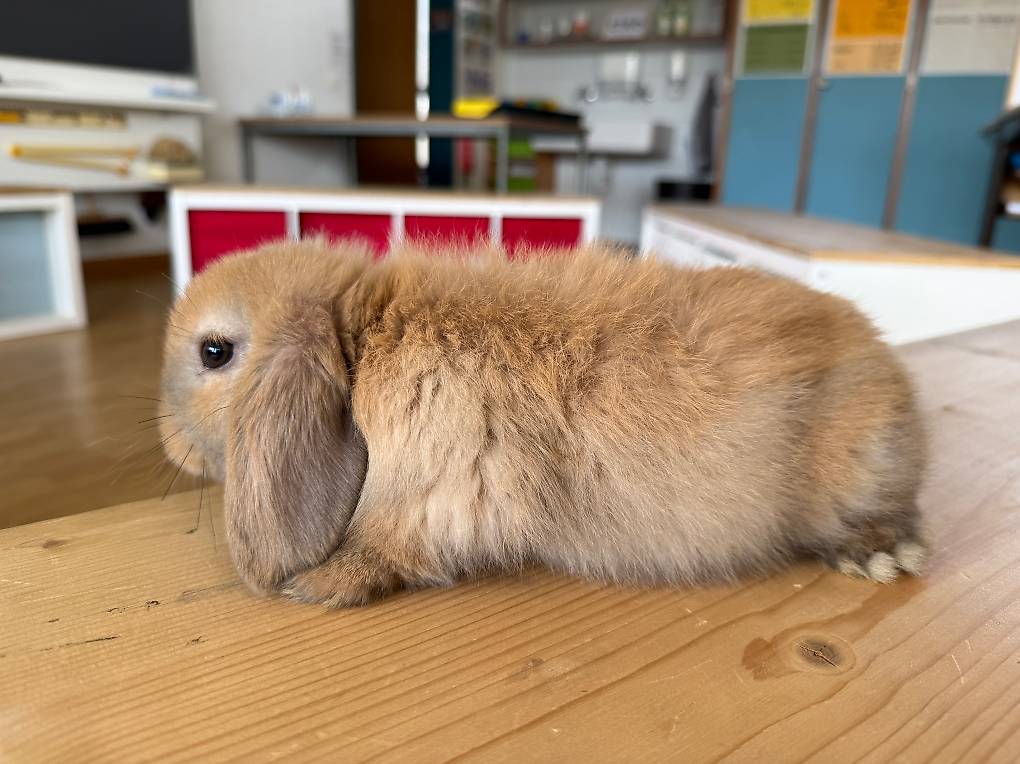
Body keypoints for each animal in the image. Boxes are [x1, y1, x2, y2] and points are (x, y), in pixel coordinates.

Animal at [159, 237, 928, 608]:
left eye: (213, 352)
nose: (171, 449)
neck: (364, 338)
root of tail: (890, 371)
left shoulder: (445, 489)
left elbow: (391, 546)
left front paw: (319, 585)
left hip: (861, 470)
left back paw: (877, 555)